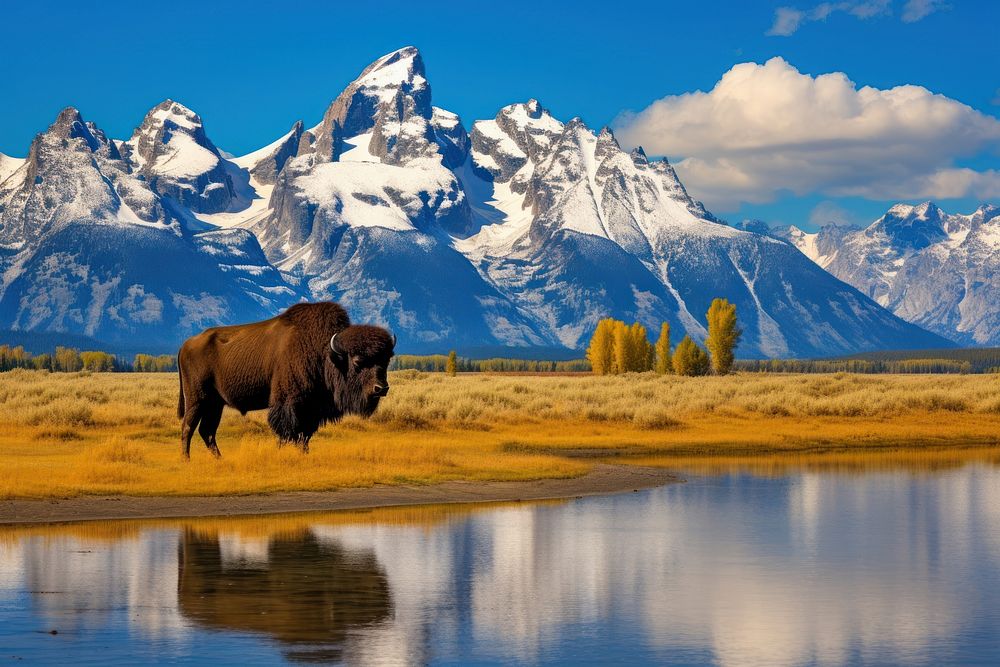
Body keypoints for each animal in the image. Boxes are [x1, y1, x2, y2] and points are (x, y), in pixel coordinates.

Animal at [177, 302, 395, 458]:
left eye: (387, 359)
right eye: (358, 361)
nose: (381, 388)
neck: (326, 353)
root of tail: (186, 344)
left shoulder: (312, 410)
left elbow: (304, 435)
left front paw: (303, 455)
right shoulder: (289, 404)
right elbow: (288, 432)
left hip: (215, 404)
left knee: (207, 431)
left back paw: (219, 459)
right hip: (197, 399)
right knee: (189, 427)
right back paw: (186, 460)